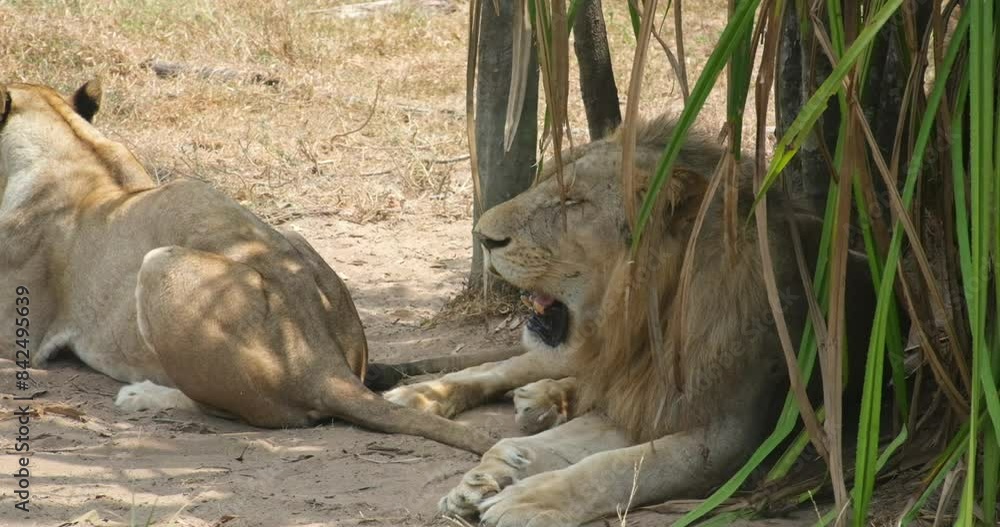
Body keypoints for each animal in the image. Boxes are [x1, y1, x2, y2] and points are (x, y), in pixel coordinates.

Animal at [0, 80, 492, 454]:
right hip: (294, 236)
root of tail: (322, 365)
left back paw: (143, 395)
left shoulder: (20, 340)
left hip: (160, 267)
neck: (73, 144)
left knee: (232, 411)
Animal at [385, 116, 875, 525]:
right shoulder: (640, 400)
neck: (649, 323)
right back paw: (418, 398)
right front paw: (487, 477)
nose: (483, 236)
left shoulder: (724, 433)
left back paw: (543, 402)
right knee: (507, 366)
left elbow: (614, 467)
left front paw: (525, 497)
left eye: (572, 201)